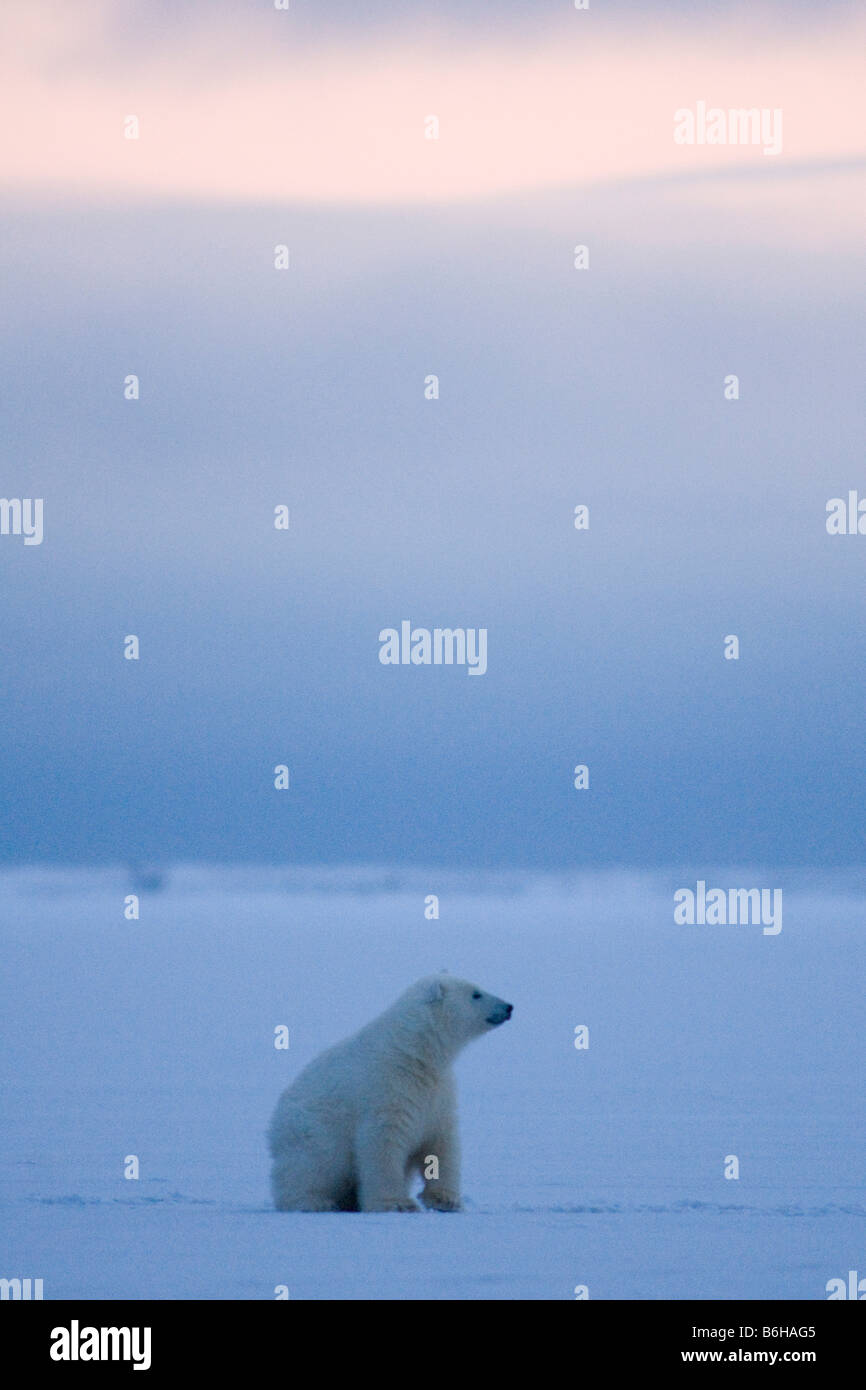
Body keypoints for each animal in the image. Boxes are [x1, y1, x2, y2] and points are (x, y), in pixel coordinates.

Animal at [268, 974, 512, 1213]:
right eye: (476, 994)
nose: (509, 1006)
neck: (414, 1053)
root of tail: (273, 1132)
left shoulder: (438, 1092)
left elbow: (441, 1141)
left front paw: (445, 1200)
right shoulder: (388, 1088)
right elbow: (384, 1141)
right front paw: (398, 1203)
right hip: (312, 1135)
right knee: (311, 1168)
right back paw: (315, 1202)